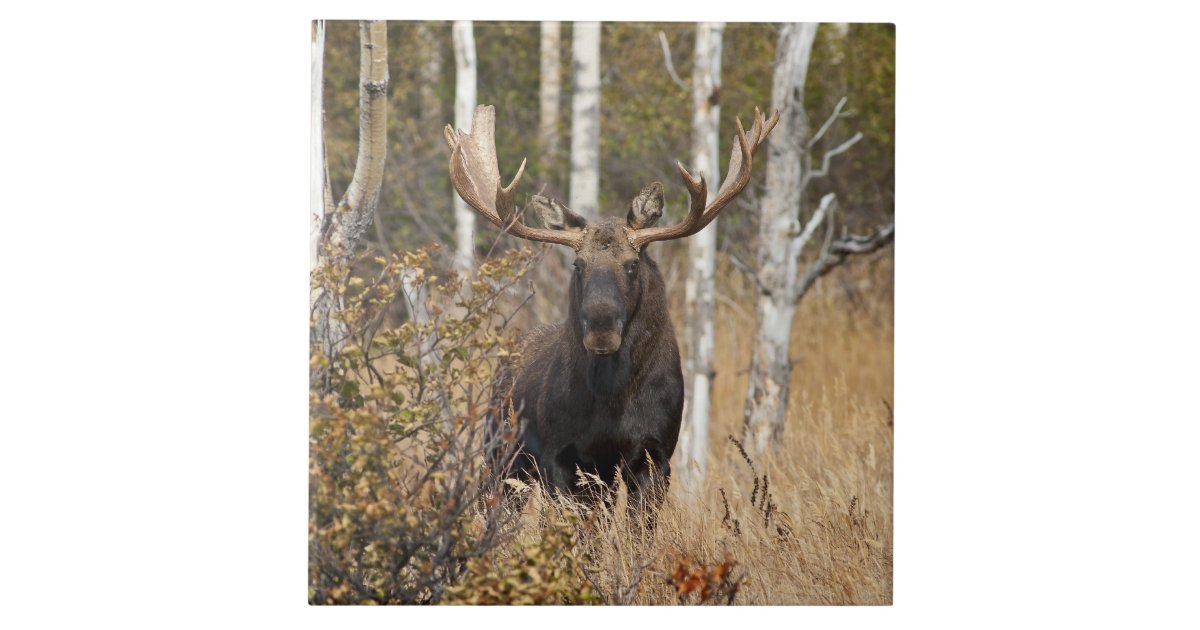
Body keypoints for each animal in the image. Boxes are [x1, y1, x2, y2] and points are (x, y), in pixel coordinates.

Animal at [445, 104, 778, 515]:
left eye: (632, 264)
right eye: (578, 264)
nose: (601, 329)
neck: (613, 401)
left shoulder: (655, 454)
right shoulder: (564, 457)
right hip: (501, 452)